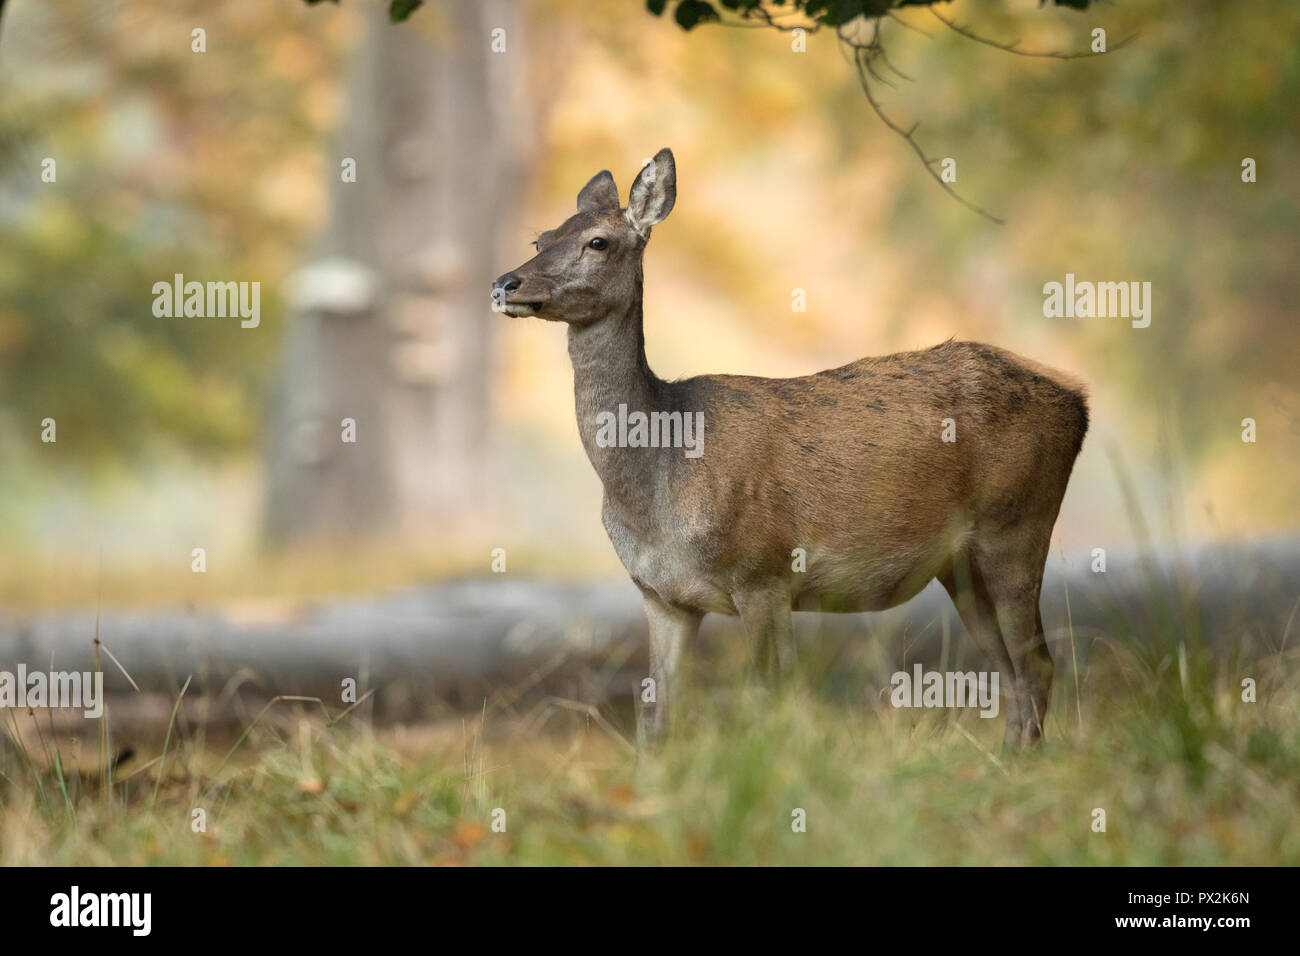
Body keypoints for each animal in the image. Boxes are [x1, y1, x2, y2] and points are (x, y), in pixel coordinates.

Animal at [492, 149, 1089, 753]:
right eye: (541, 238)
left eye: (598, 241)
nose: (505, 283)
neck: (659, 479)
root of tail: (1079, 400)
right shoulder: (663, 597)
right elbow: (656, 716)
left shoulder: (765, 571)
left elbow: (768, 697)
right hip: (960, 565)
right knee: (1009, 669)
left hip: (1016, 524)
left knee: (1038, 663)